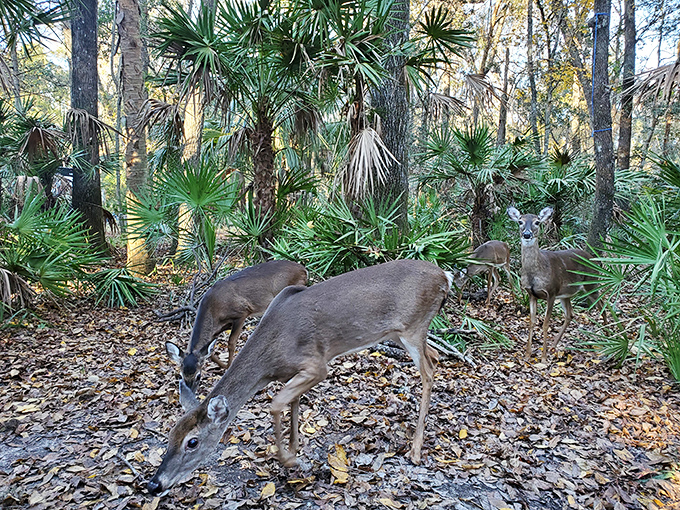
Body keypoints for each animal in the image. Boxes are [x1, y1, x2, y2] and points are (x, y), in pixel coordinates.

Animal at [165, 260, 308, 393]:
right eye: (181, 376)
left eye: (198, 376)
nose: (189, 393)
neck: (213, 310)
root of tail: (303, 269)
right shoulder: (218, 328)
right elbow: (211, 351)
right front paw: (222, 365)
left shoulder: (241, 313)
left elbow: (231, 343)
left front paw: (228, 367)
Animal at [507, 206, 602, 362]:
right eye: (520, 221)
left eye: (537, 222)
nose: (527, 234)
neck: (535, 274)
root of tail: (592, 258)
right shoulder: (531, 293)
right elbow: (532, 322)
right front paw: (527, 355)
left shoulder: (551, 291)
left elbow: (546, 323)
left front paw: (543, 358)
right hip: (566, 294)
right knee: (570, 315)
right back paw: (553, 346)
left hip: (591, 284)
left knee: (603, 307)